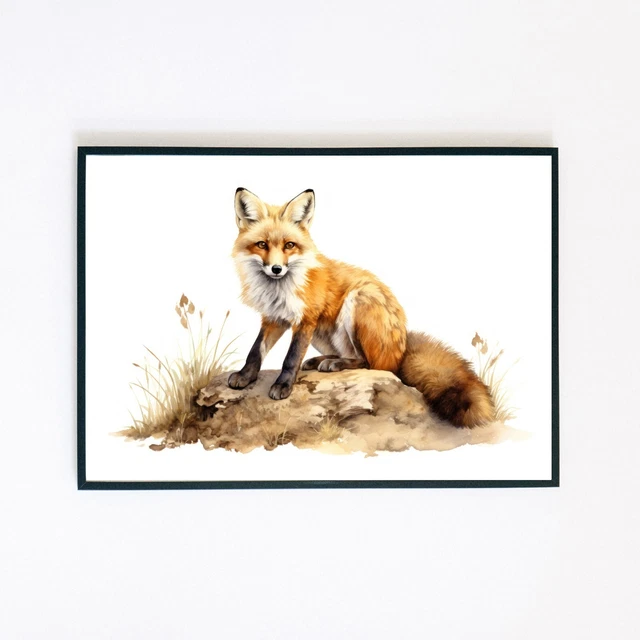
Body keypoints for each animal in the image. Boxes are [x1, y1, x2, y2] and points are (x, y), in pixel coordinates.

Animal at [228, 187, 494, 428]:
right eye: (262, 244)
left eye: (289, 245)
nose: (276, 269)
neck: (279, 288)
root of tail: (402, 347)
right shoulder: (274, 318)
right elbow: (256, 351)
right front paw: (245, 376)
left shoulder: (306, 318)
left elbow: (291, 358)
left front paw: (283, 385)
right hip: (324, 334)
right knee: (351, 356)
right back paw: (323, 361)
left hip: (358, 302)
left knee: (371, 364)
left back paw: (337, 365)